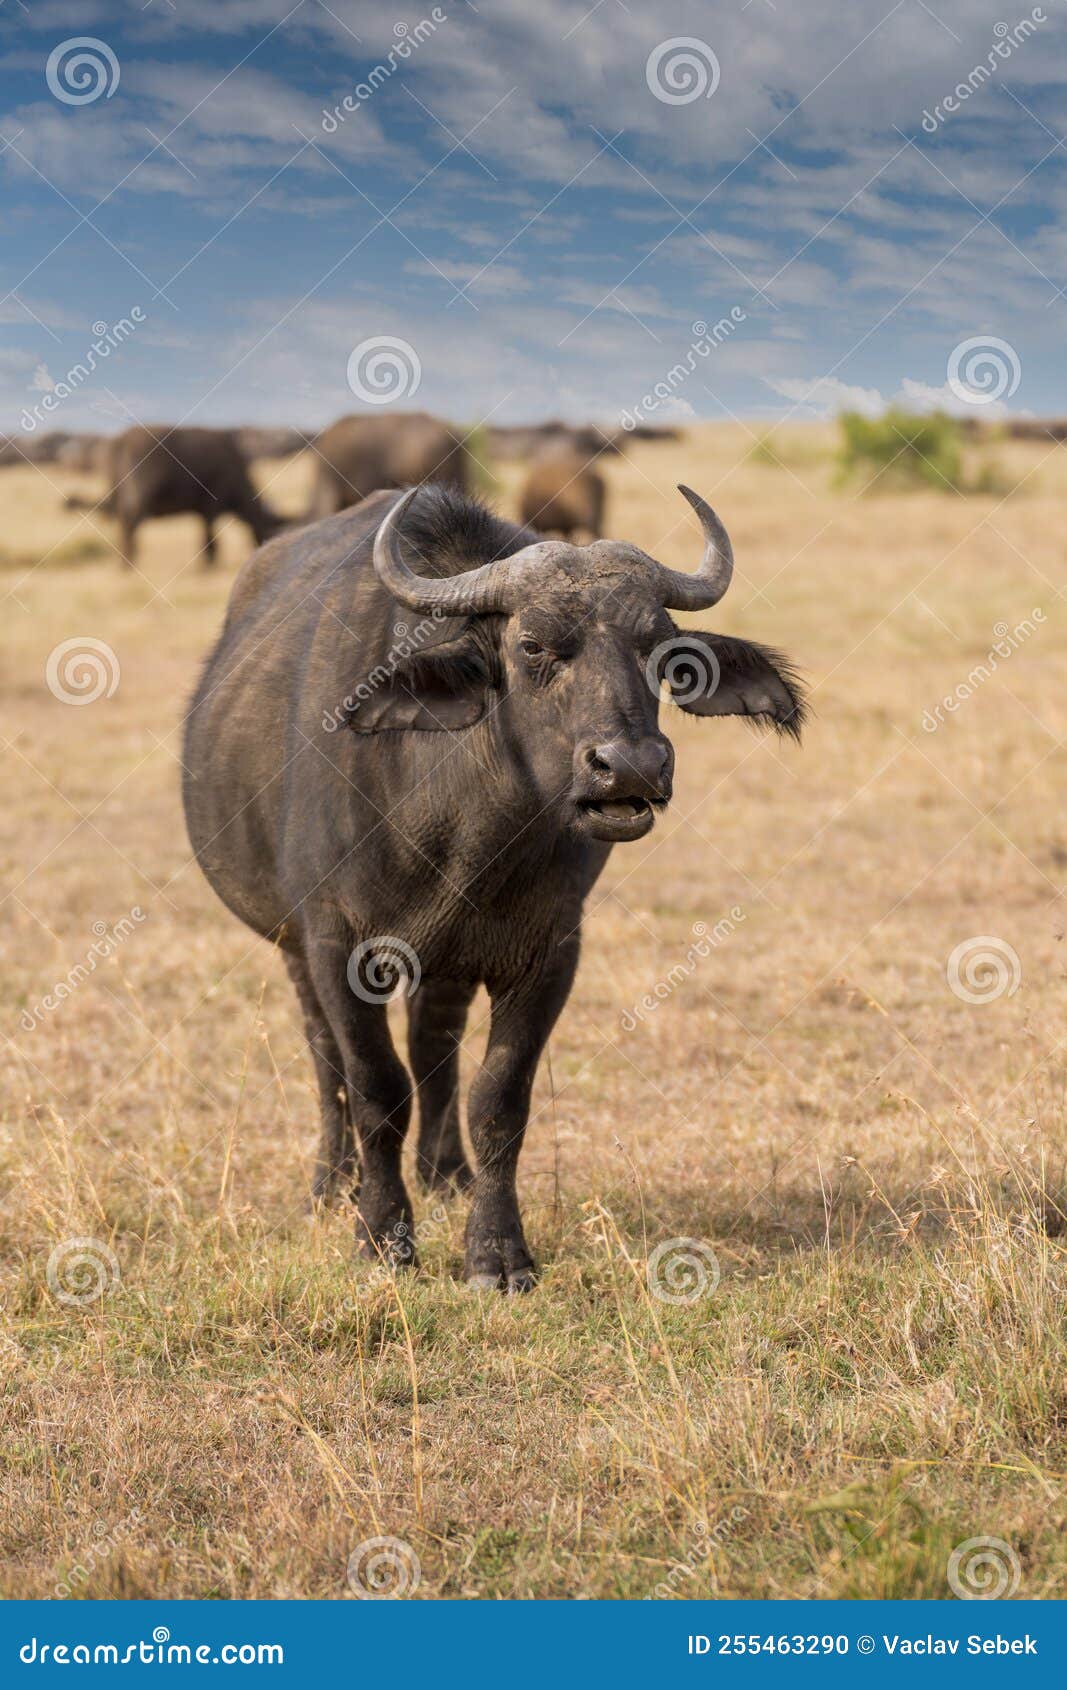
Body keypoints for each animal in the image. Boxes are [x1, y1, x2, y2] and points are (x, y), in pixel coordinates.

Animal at [65, 425, 284, 568]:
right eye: (271, 530)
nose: (264, 549)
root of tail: (121, 439)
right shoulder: (211, 507)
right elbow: (209, 536)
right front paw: (209, 563)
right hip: (138, 497)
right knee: (130, 523)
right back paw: (128, 562)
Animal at [182, 483, 804, 1291]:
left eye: (661, 651)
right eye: (533, 646)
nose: (632, 767)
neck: (463, 827)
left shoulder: (549, 952)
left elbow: (498, 1098)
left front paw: (497, 1251)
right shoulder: (334, 943)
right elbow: (375, 1087)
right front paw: (381, 1236)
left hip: (448, 959)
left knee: (434, 1049)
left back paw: (446, 1174)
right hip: (291, 944)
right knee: (328, 1057)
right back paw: (333, 1182)